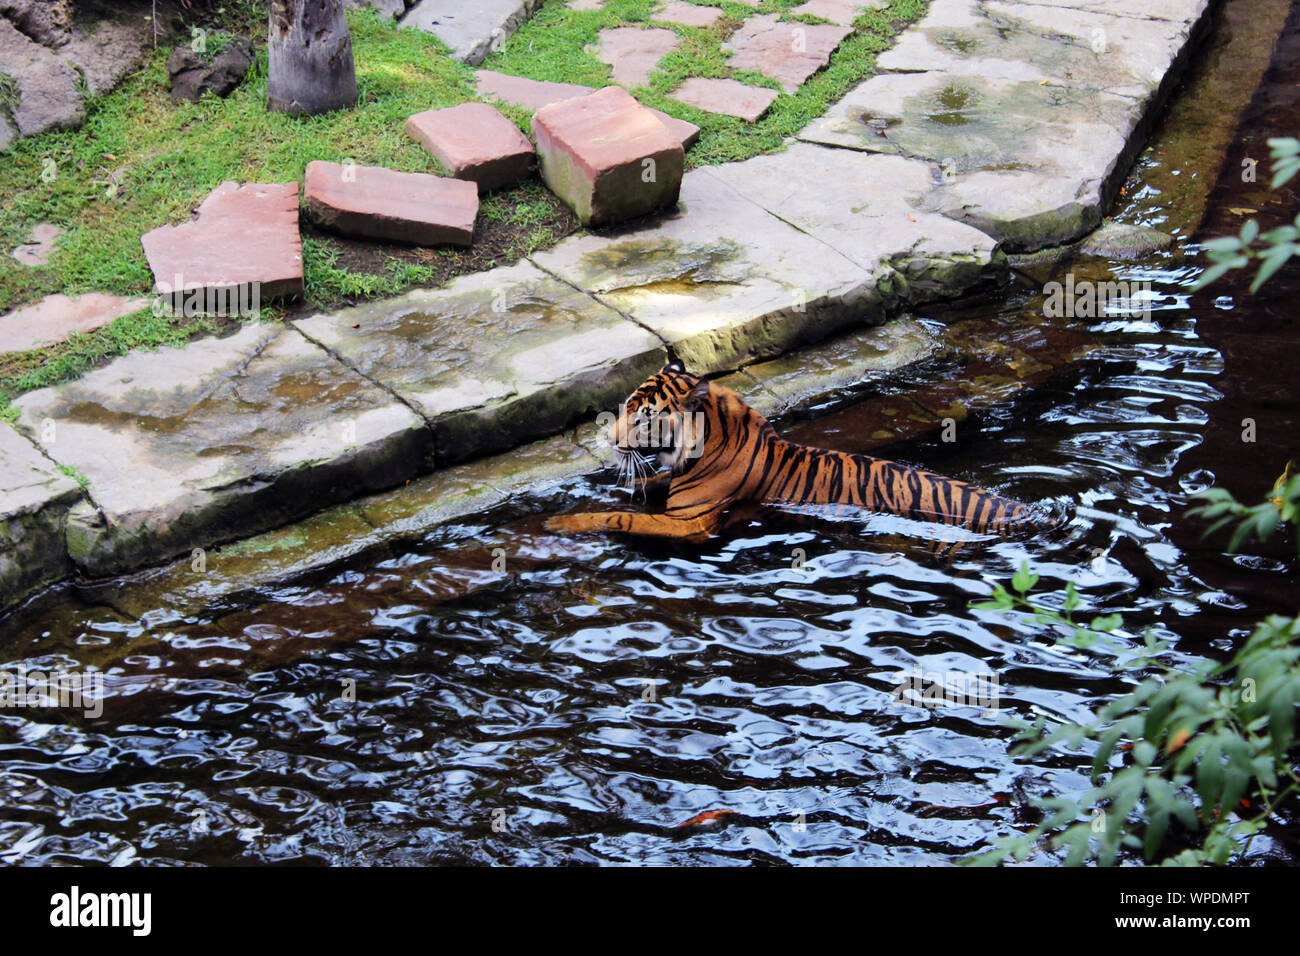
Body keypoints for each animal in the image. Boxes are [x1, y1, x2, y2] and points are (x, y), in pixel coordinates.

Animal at [545, 360, 1053, 543]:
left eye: (643, 416)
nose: (609, 441)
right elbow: (646, 485)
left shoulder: (689, 523)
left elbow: (621, 517)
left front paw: (562, 522)